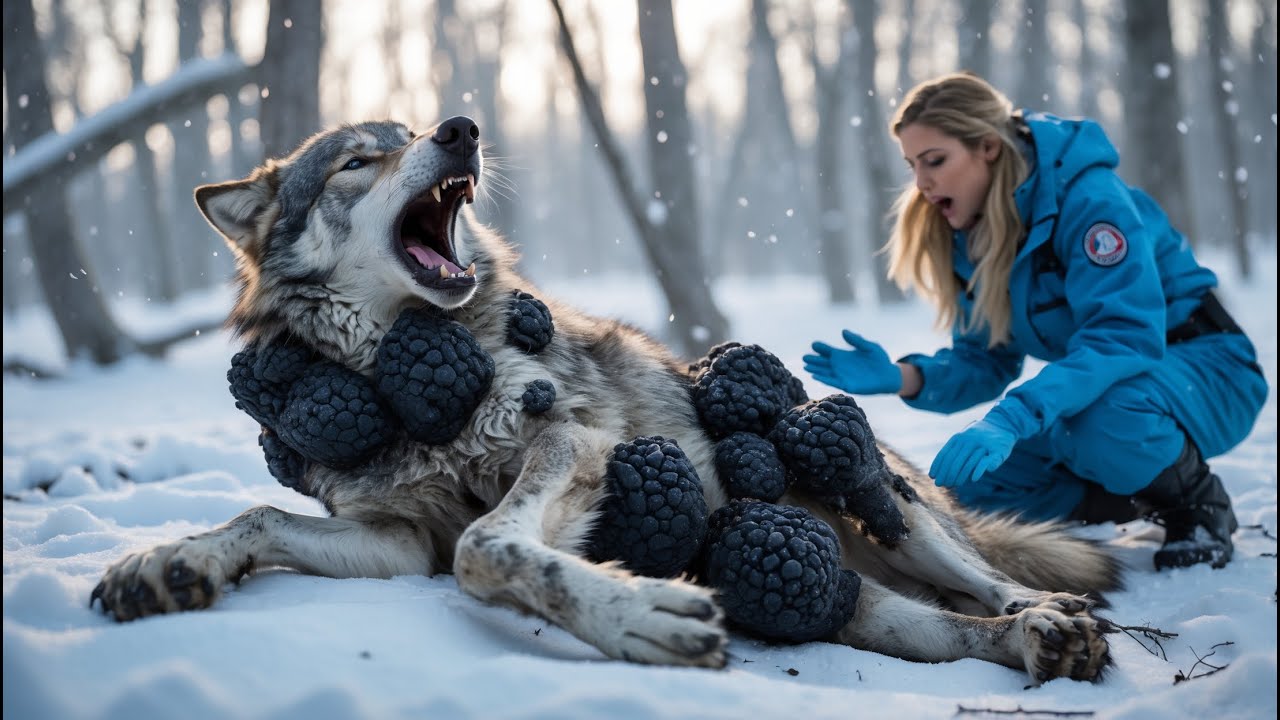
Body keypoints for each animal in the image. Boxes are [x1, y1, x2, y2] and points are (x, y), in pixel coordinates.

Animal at [91, 117, 1123, 683]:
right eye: (357, 161)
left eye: (411, 130)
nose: (460, 127)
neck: (406, 368)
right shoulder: (395, 540)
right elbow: (260, 515)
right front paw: (168, 563)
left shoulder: (568, 448)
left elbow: (488, 545)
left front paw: (638, 617)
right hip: (851, 602)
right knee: (958, 633)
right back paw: (1038, 645)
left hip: (886, 506)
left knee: (990, 580)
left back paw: (1053, 617)